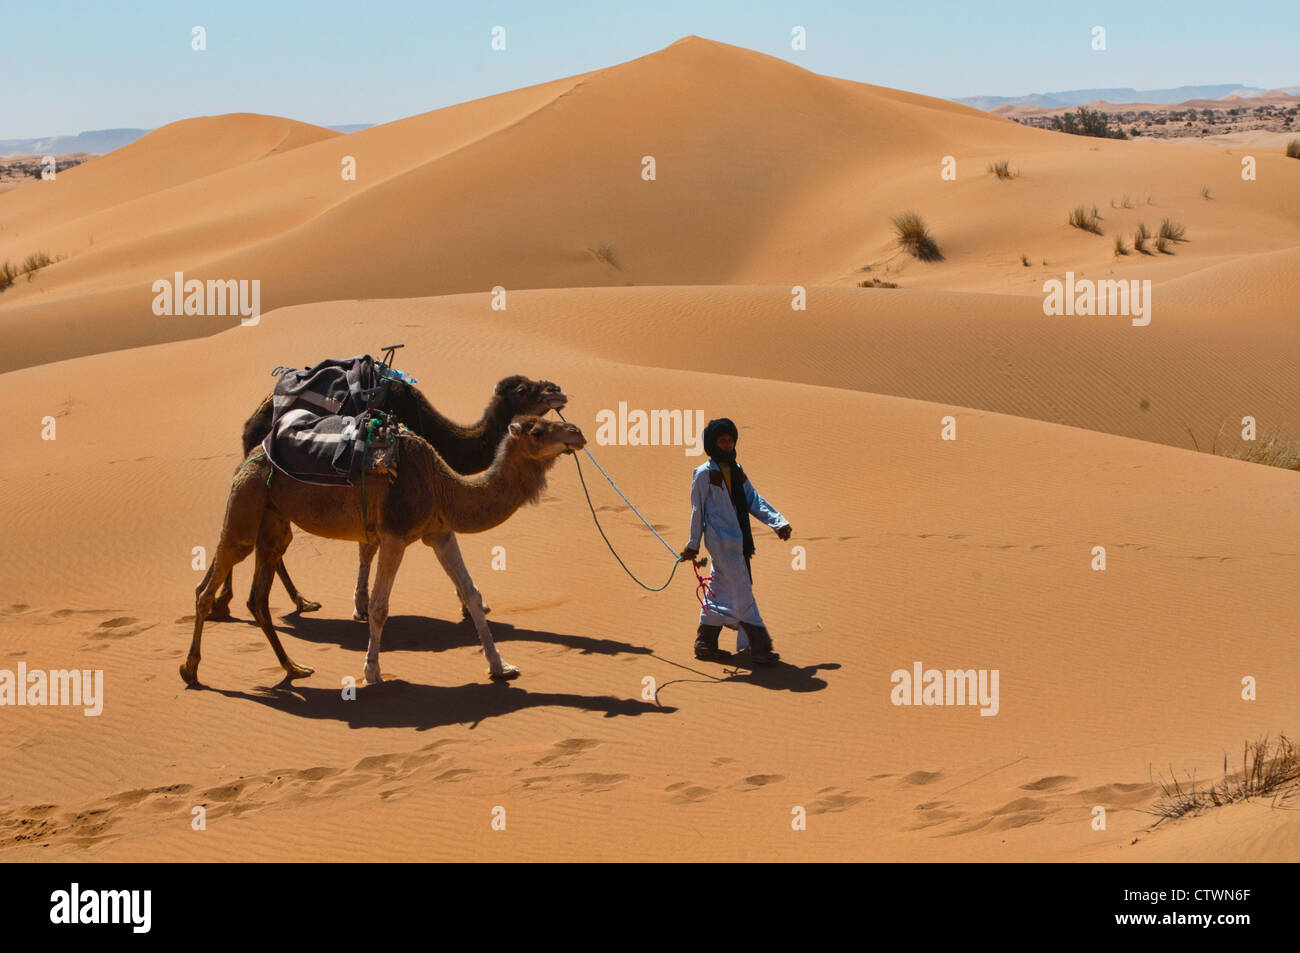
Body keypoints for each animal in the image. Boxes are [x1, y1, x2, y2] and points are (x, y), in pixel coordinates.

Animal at [183, 415, 586, 687]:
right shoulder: (394, 535)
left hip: (273, 520)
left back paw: (293, 668)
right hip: (248, 501)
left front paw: (501, 667)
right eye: (537, 431)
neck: (442, 485)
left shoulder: (440, 532)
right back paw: (190, 669)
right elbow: (379, 606)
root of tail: (251, 453)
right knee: (209, 584)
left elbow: (471, 594)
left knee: (256, 597)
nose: (578, 433)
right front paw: (372, 672)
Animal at [210, 375, 568, 620]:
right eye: (522, 389)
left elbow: (368, 547)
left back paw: (293, 600)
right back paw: (232, 603)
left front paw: (361, 604)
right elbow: (369, 547)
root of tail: (251, 423)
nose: (556, 389)